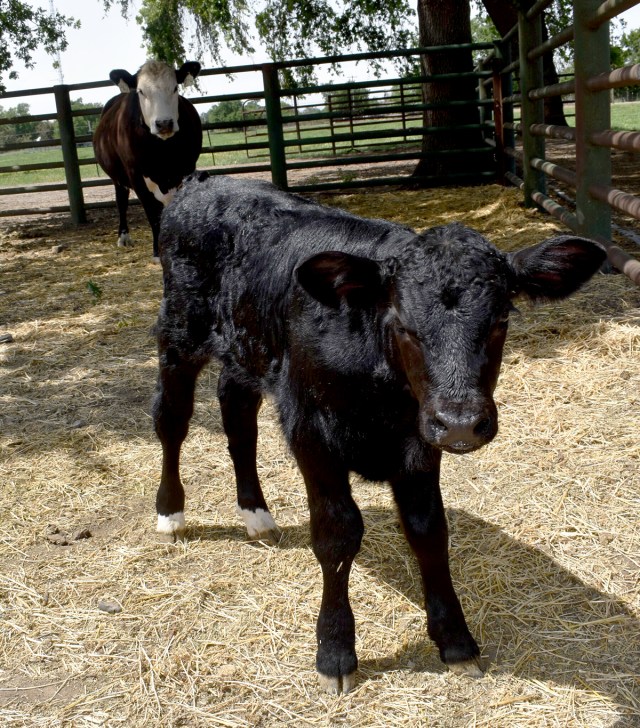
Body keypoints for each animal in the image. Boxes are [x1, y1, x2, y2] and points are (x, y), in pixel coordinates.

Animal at [93, 60, 203, 259]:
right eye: (141, 91)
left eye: (175, 87)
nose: (164, 123)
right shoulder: (136, 176)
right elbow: (152, 212)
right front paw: (158, 251)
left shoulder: (187, 168)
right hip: (118, 179)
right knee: (121, 202)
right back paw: (123, 237)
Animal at [151, 173, 606, 694]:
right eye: (404, 326)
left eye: (501, 320)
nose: (461, 421)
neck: (381, 388)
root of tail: (202, 182)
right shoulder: (311, 430)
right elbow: (337, 533)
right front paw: (334, 652)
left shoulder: (420, 438)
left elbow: (429, 530)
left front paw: (456, 641)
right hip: (179, 332)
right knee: (173, 419)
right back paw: (170, 514)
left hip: (246, 347)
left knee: (237, 415)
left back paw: (257, 515)